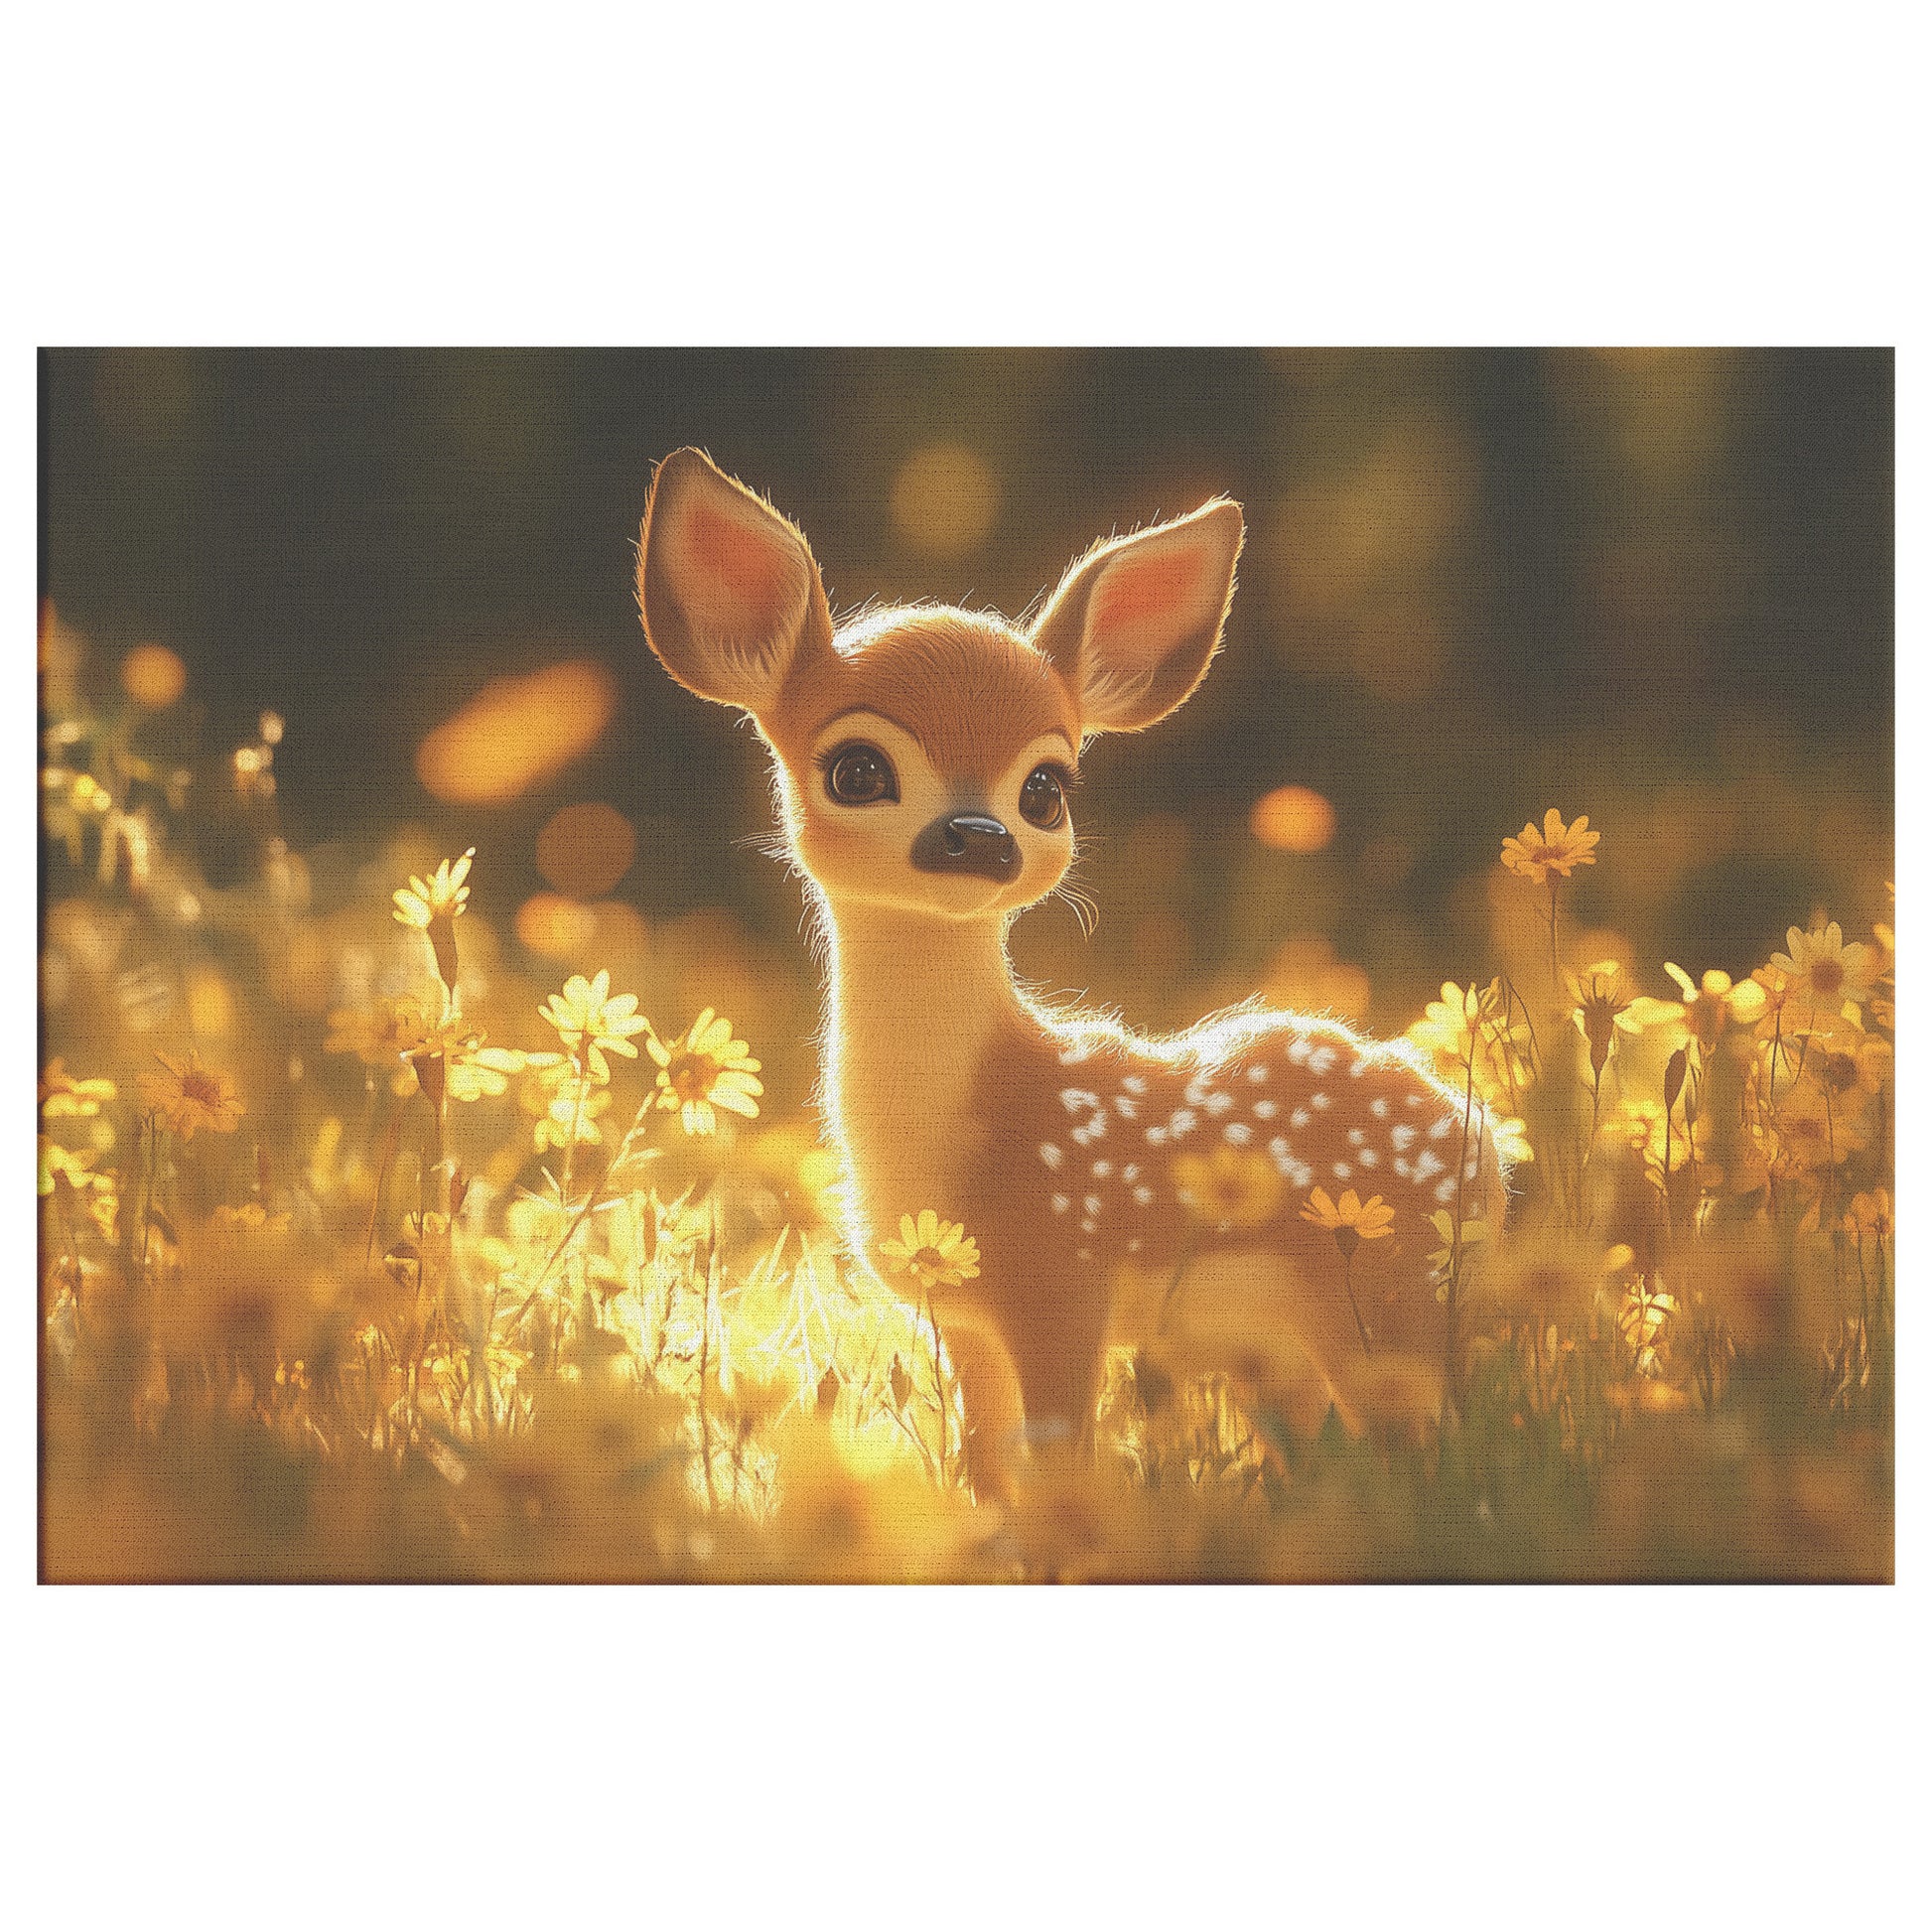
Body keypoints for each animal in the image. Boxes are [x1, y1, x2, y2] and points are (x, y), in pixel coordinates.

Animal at [635, 448, 1508, 1496]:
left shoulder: (1062, 1275)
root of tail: (1489, 1148)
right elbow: (986, 1464)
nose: (979, 836)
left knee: (1437, 1449)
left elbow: (1059, 1460)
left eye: (1046, 788)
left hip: (1387, 1290)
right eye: (856, 770)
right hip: (1282, 1339)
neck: (967, 1124)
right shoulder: (963, 1312)